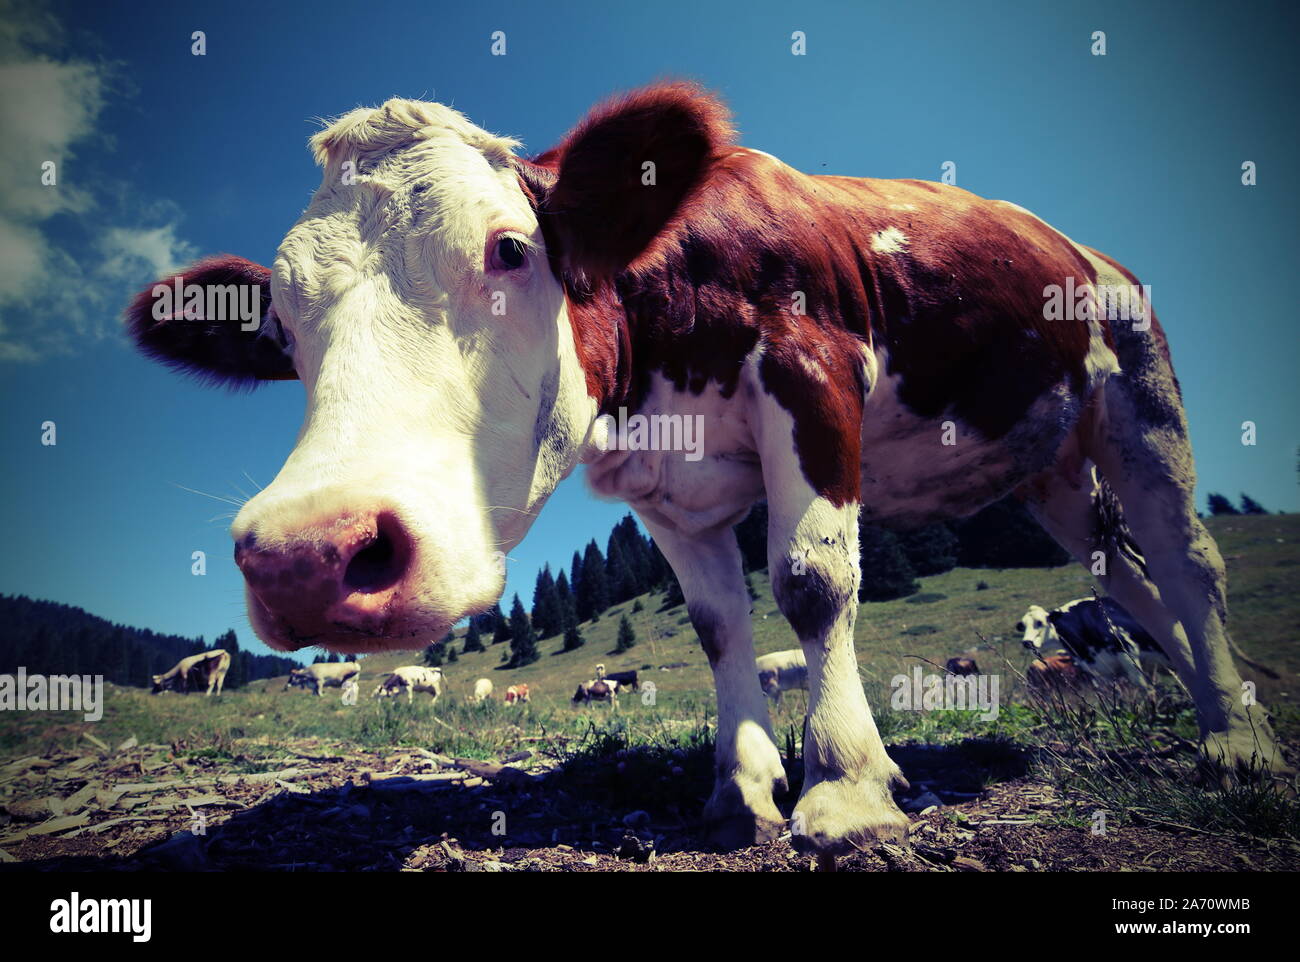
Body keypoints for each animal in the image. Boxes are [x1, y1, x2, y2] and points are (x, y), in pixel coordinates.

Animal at [125, 82, 1288, 855]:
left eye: (510, 248)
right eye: (278, 326)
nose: (307, 555)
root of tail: (1079, 245)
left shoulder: (810, 367)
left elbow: (811, 580)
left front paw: (846, 786)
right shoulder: (668, 496)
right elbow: (722, 623)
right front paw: (741, 787)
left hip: (1140, 395)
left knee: (1188, 560)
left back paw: (1241, 744)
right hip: (1050, 466)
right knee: (1126, 580)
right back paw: (1219, 712)